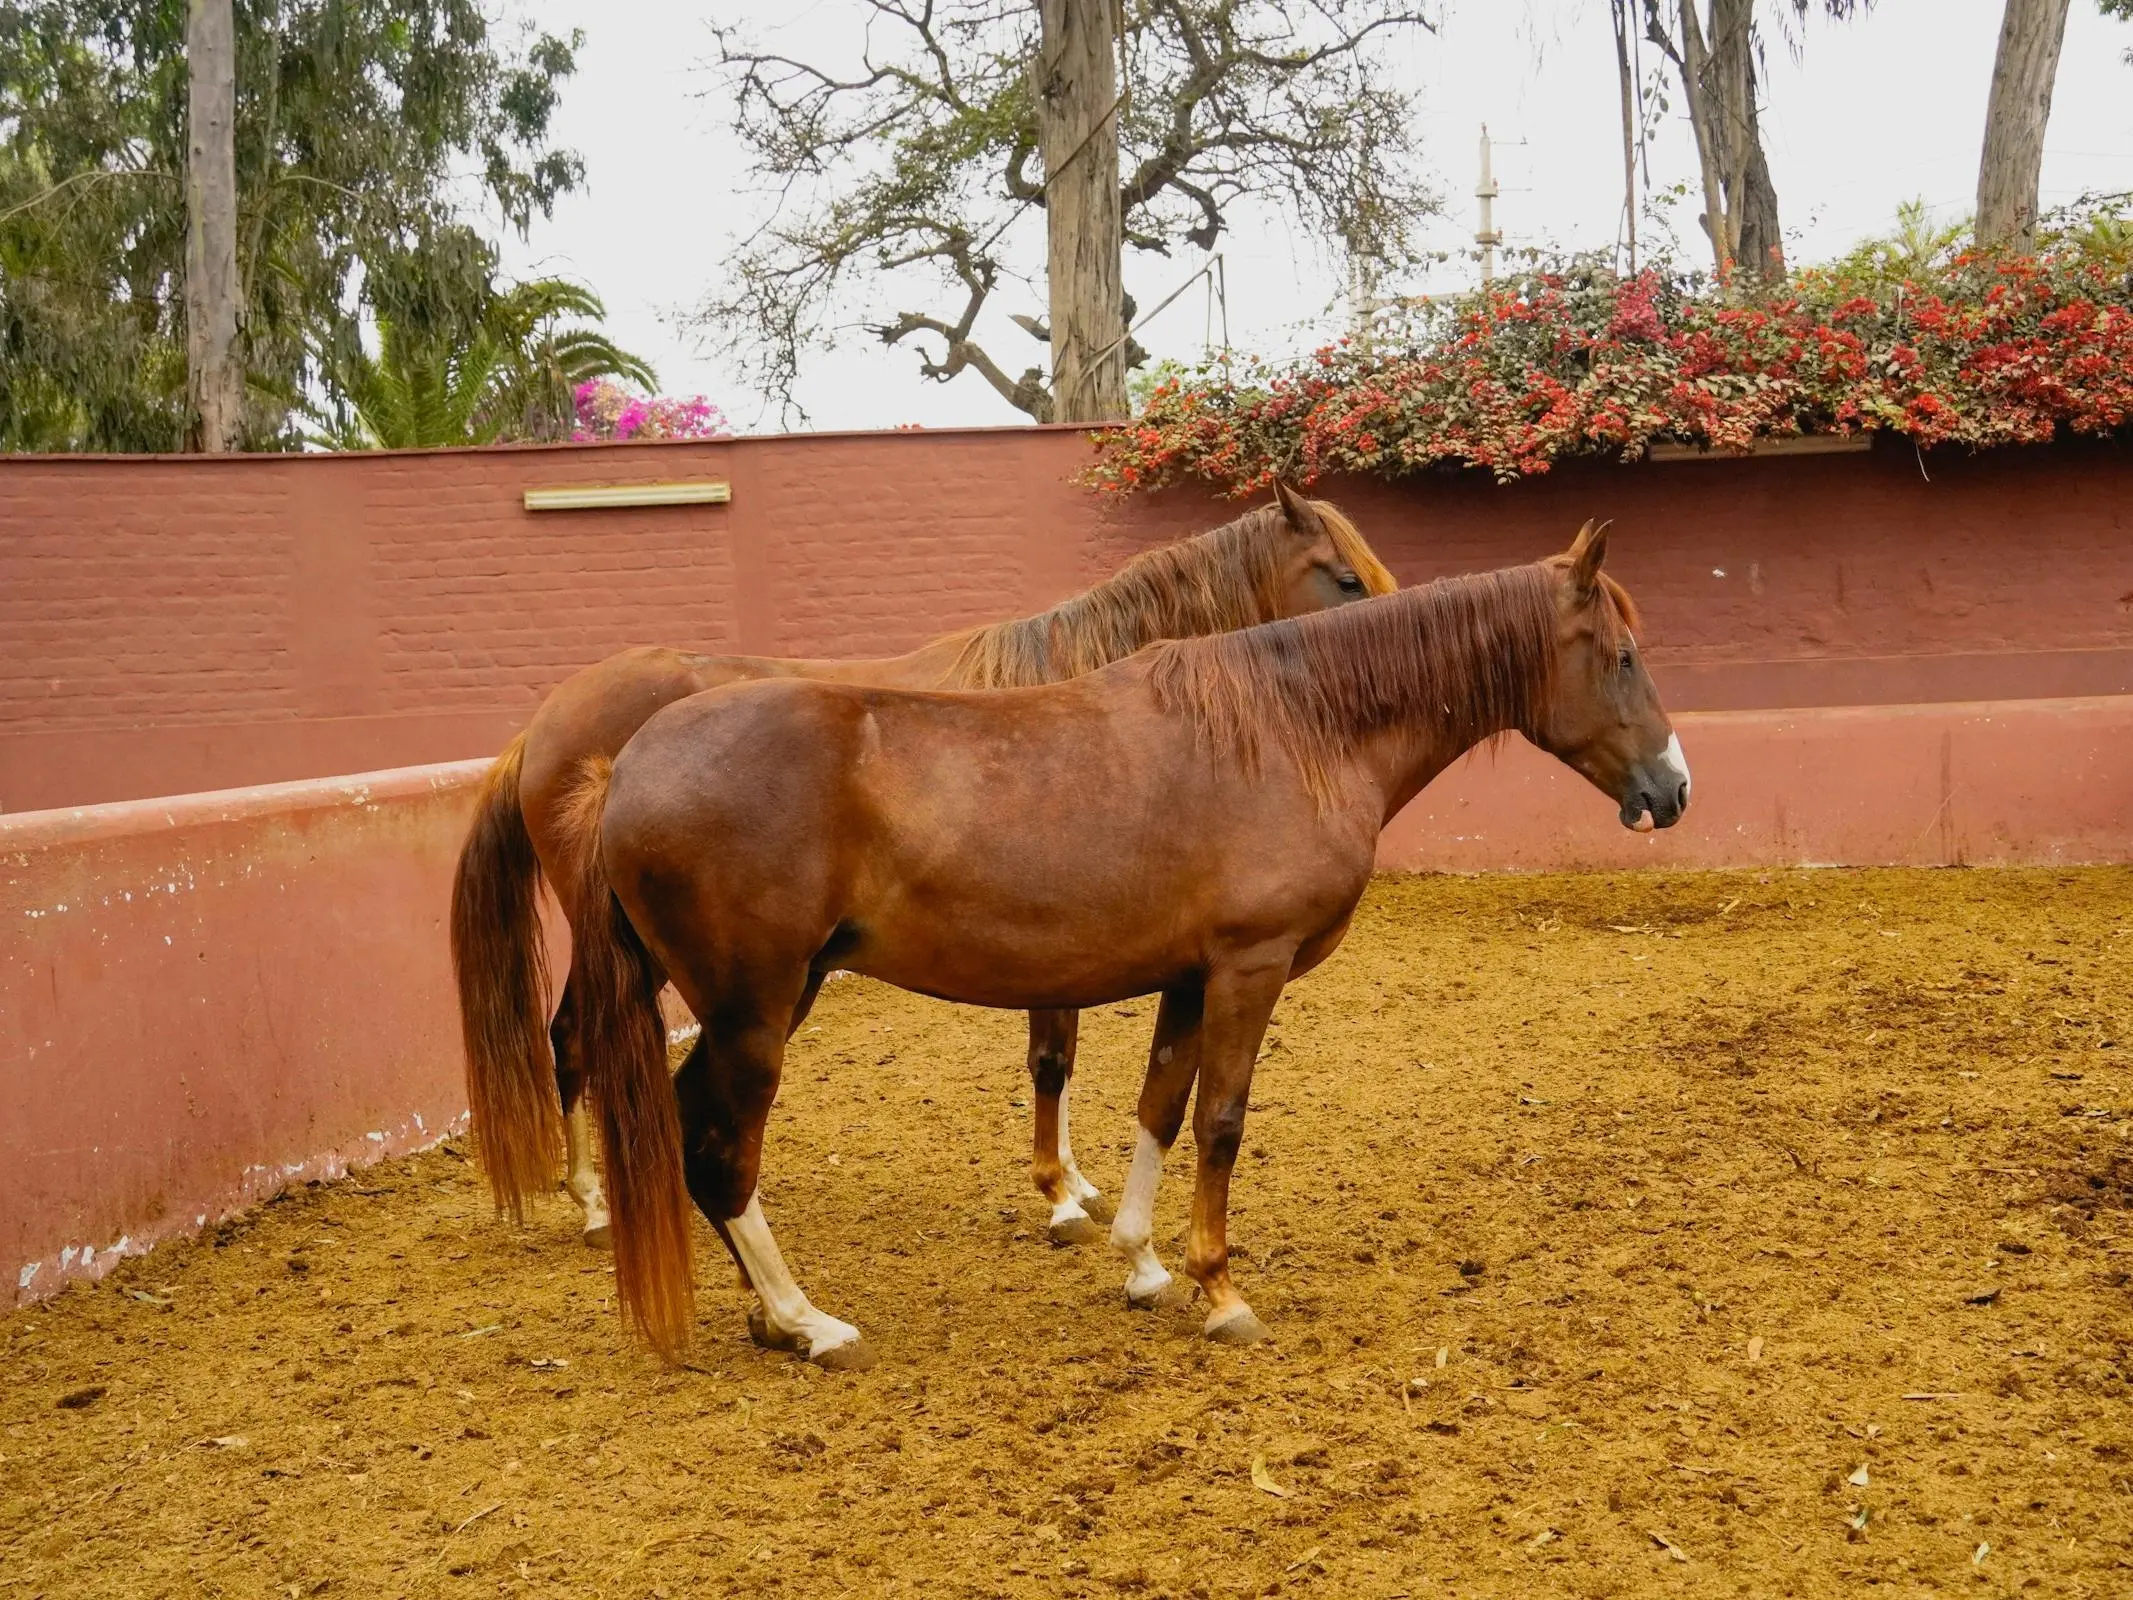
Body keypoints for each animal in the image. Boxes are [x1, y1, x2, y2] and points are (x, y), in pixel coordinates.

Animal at [450, 485, 1397, 1250]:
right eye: (1342, 578)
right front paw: (1058, 1196)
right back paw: (594, 1204)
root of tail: (548, 725)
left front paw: (1073, 1181)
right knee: (575, 1041)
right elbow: (1050, 1057)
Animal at [559, 520, 1689, 1366]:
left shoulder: (1190, 977)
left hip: (751, 1004)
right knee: (719, 1152)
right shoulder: (1248, 967)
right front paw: (1220, 1290)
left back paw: (764, 1310)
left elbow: (1160, 1105)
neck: (1291, 726)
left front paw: (1144, 1263)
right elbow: (1222, 1121)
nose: (1672, 789)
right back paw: (806, 1320)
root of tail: (625, 766)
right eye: (1622, 657)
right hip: (755, 1008)